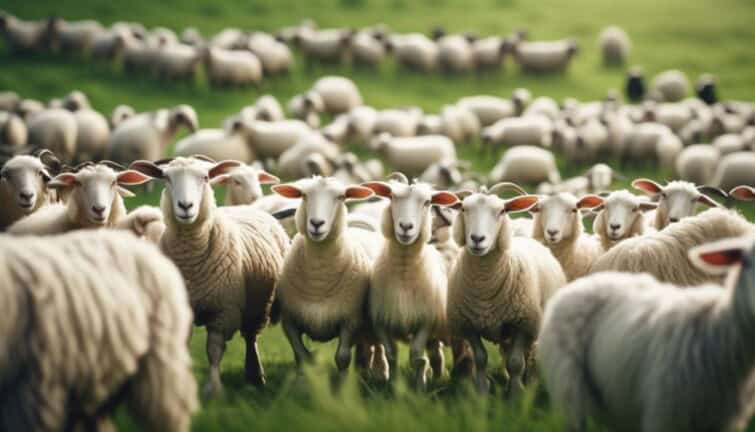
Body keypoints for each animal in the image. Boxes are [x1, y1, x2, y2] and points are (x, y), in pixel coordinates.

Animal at [129, 157, 289, 397]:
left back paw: (255, 375)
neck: (191, 264)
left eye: (205, 178)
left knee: (251, 337)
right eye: (166, 178)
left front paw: (213, 389)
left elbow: (214, 350)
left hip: (258, 304)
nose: (186, 206)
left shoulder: (222, 311)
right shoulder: (182, 307)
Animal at [271, 177, 388, 377]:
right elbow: (302, 355)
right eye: (303, 195)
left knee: (376, 344)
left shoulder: (350, 320)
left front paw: (342, 382)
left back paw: (380, 371)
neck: (319, 280)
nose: (317, 223)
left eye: (341, 197)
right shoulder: (289, 321)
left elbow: (342, 357)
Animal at [361, 177, 460, 388]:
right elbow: (391, 354)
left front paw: (420, 387)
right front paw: (392, 385)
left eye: (427, 202)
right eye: (391, 196)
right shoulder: (381, 321)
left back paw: (439, 377)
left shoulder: (425, 320)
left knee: (435, 355)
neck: (404, 274)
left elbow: (417, 357)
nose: (406, 227)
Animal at [447, 186, 566, 397]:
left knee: (530, 353)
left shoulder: (523, 324)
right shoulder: (468, 325)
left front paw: (516, 395)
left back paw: (531, 381)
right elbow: (481, 359)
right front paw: (482, 391)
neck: (484, 285)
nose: (477, 239)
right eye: (463, 209)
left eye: (501, 211)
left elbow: (515, 362)